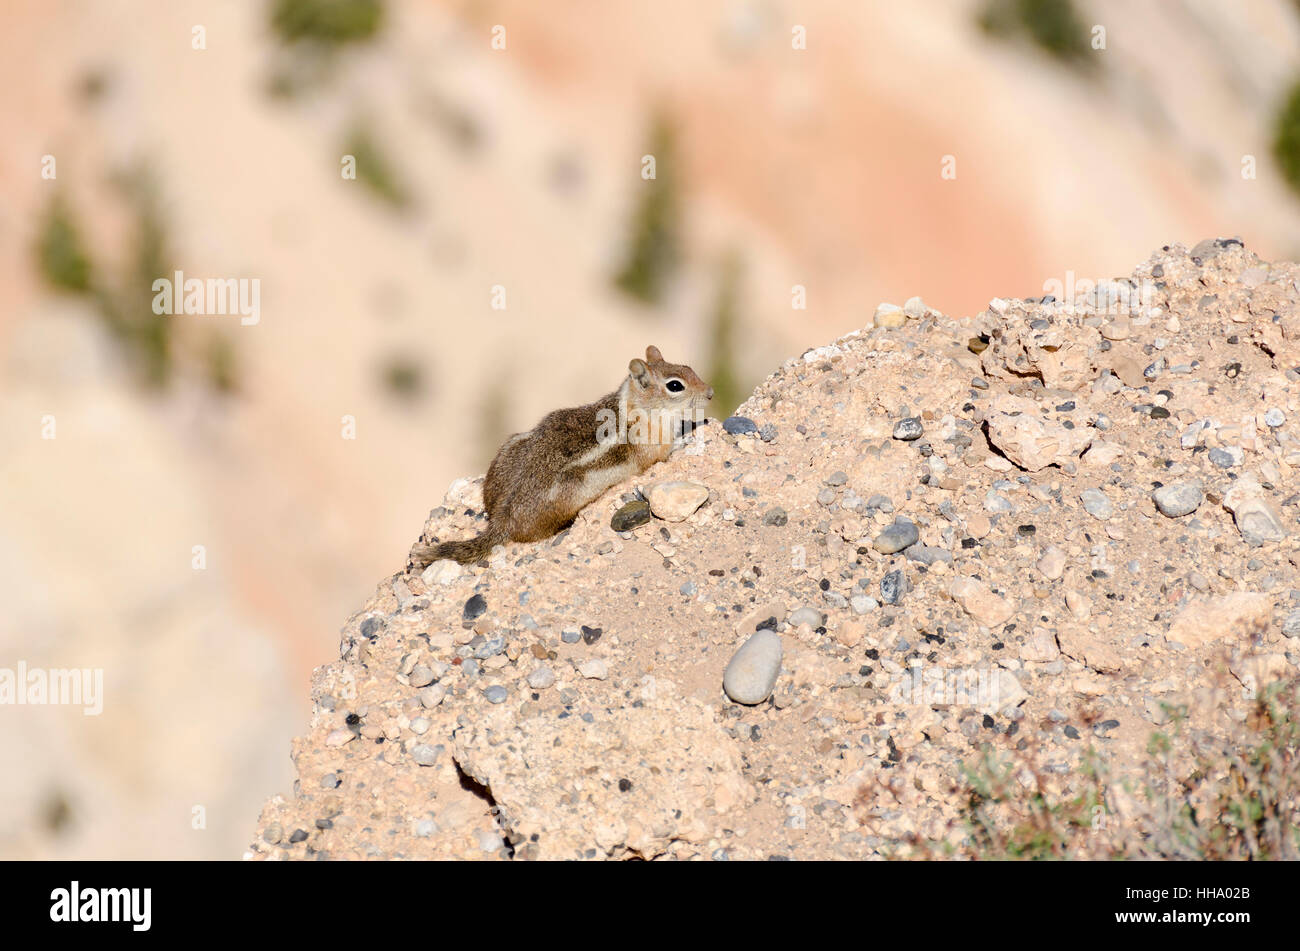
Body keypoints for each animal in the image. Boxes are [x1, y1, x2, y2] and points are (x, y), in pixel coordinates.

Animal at [409, 345, 714, 568]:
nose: (710, 392)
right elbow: (663, 455)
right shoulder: (653, 451)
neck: (639, 407)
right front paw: (686, 440)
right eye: (675, 386)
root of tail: (500, 521)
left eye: (689, 369)